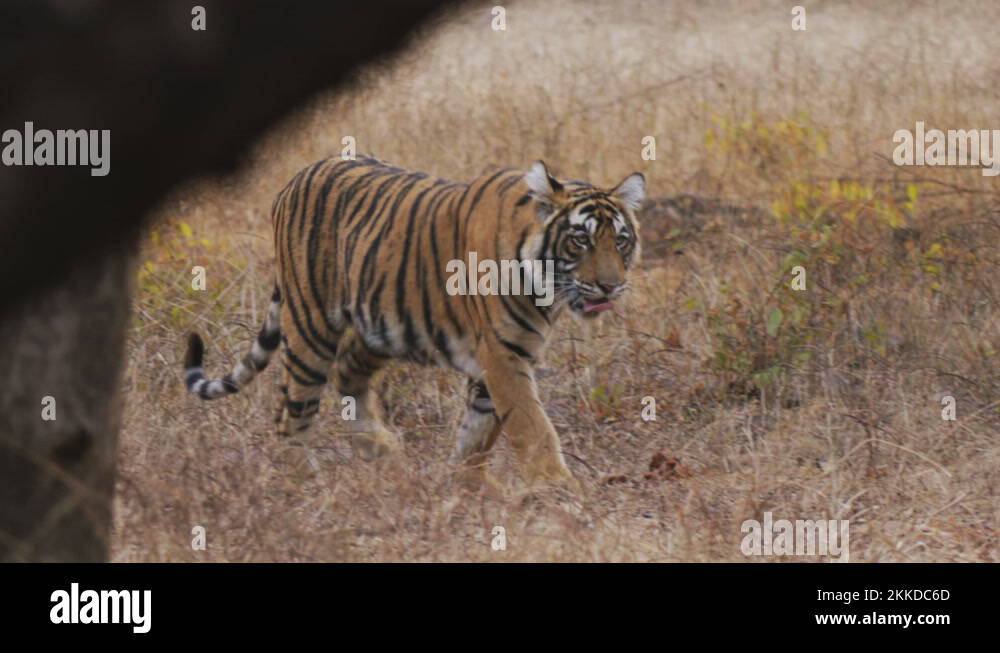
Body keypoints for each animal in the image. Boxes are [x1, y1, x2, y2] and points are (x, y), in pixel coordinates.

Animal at [183, 155, 645, 487]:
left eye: (620, 241)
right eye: (580, 240)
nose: (610, 287)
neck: (544, 286)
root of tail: (294, 180)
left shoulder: (505, 358)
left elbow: (478, 433)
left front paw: (466, 488)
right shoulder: (503, 357)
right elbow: (532, 427)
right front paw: (560, 489)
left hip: (380, 324)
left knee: (347, 373)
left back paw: (381, 449)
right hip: (311, 326)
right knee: (292, 411)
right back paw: (300, 481)